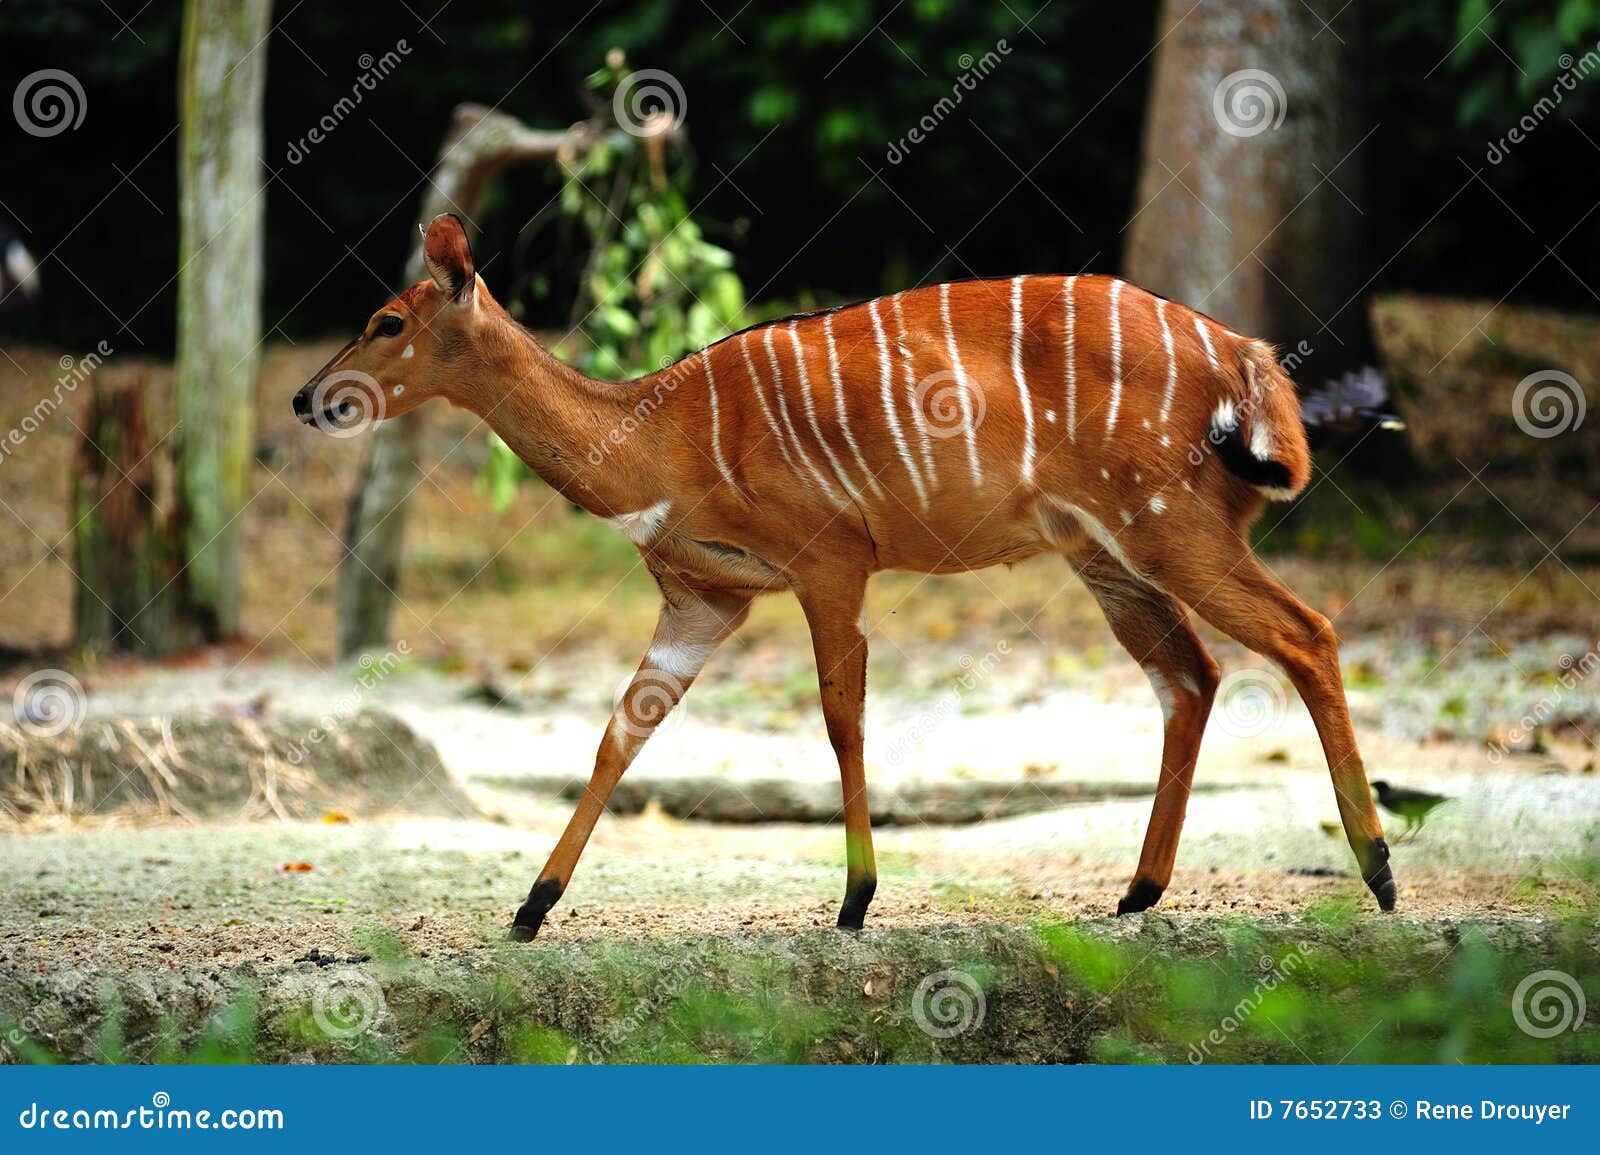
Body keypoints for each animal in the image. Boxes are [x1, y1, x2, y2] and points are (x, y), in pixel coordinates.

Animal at [295, 214, 1396, 940]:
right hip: (1105, 551)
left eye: (386, 320)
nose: (310, 398)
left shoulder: (828, 561)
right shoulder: (704, 596)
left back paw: (1380, 873)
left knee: (1304, 633)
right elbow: (620, 732)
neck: (660, 438)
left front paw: (856, 902)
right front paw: (530, 907)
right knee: (1191, 674)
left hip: (1170, 529)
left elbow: (839, 715)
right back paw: (1138, 891)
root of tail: (1247, 357)